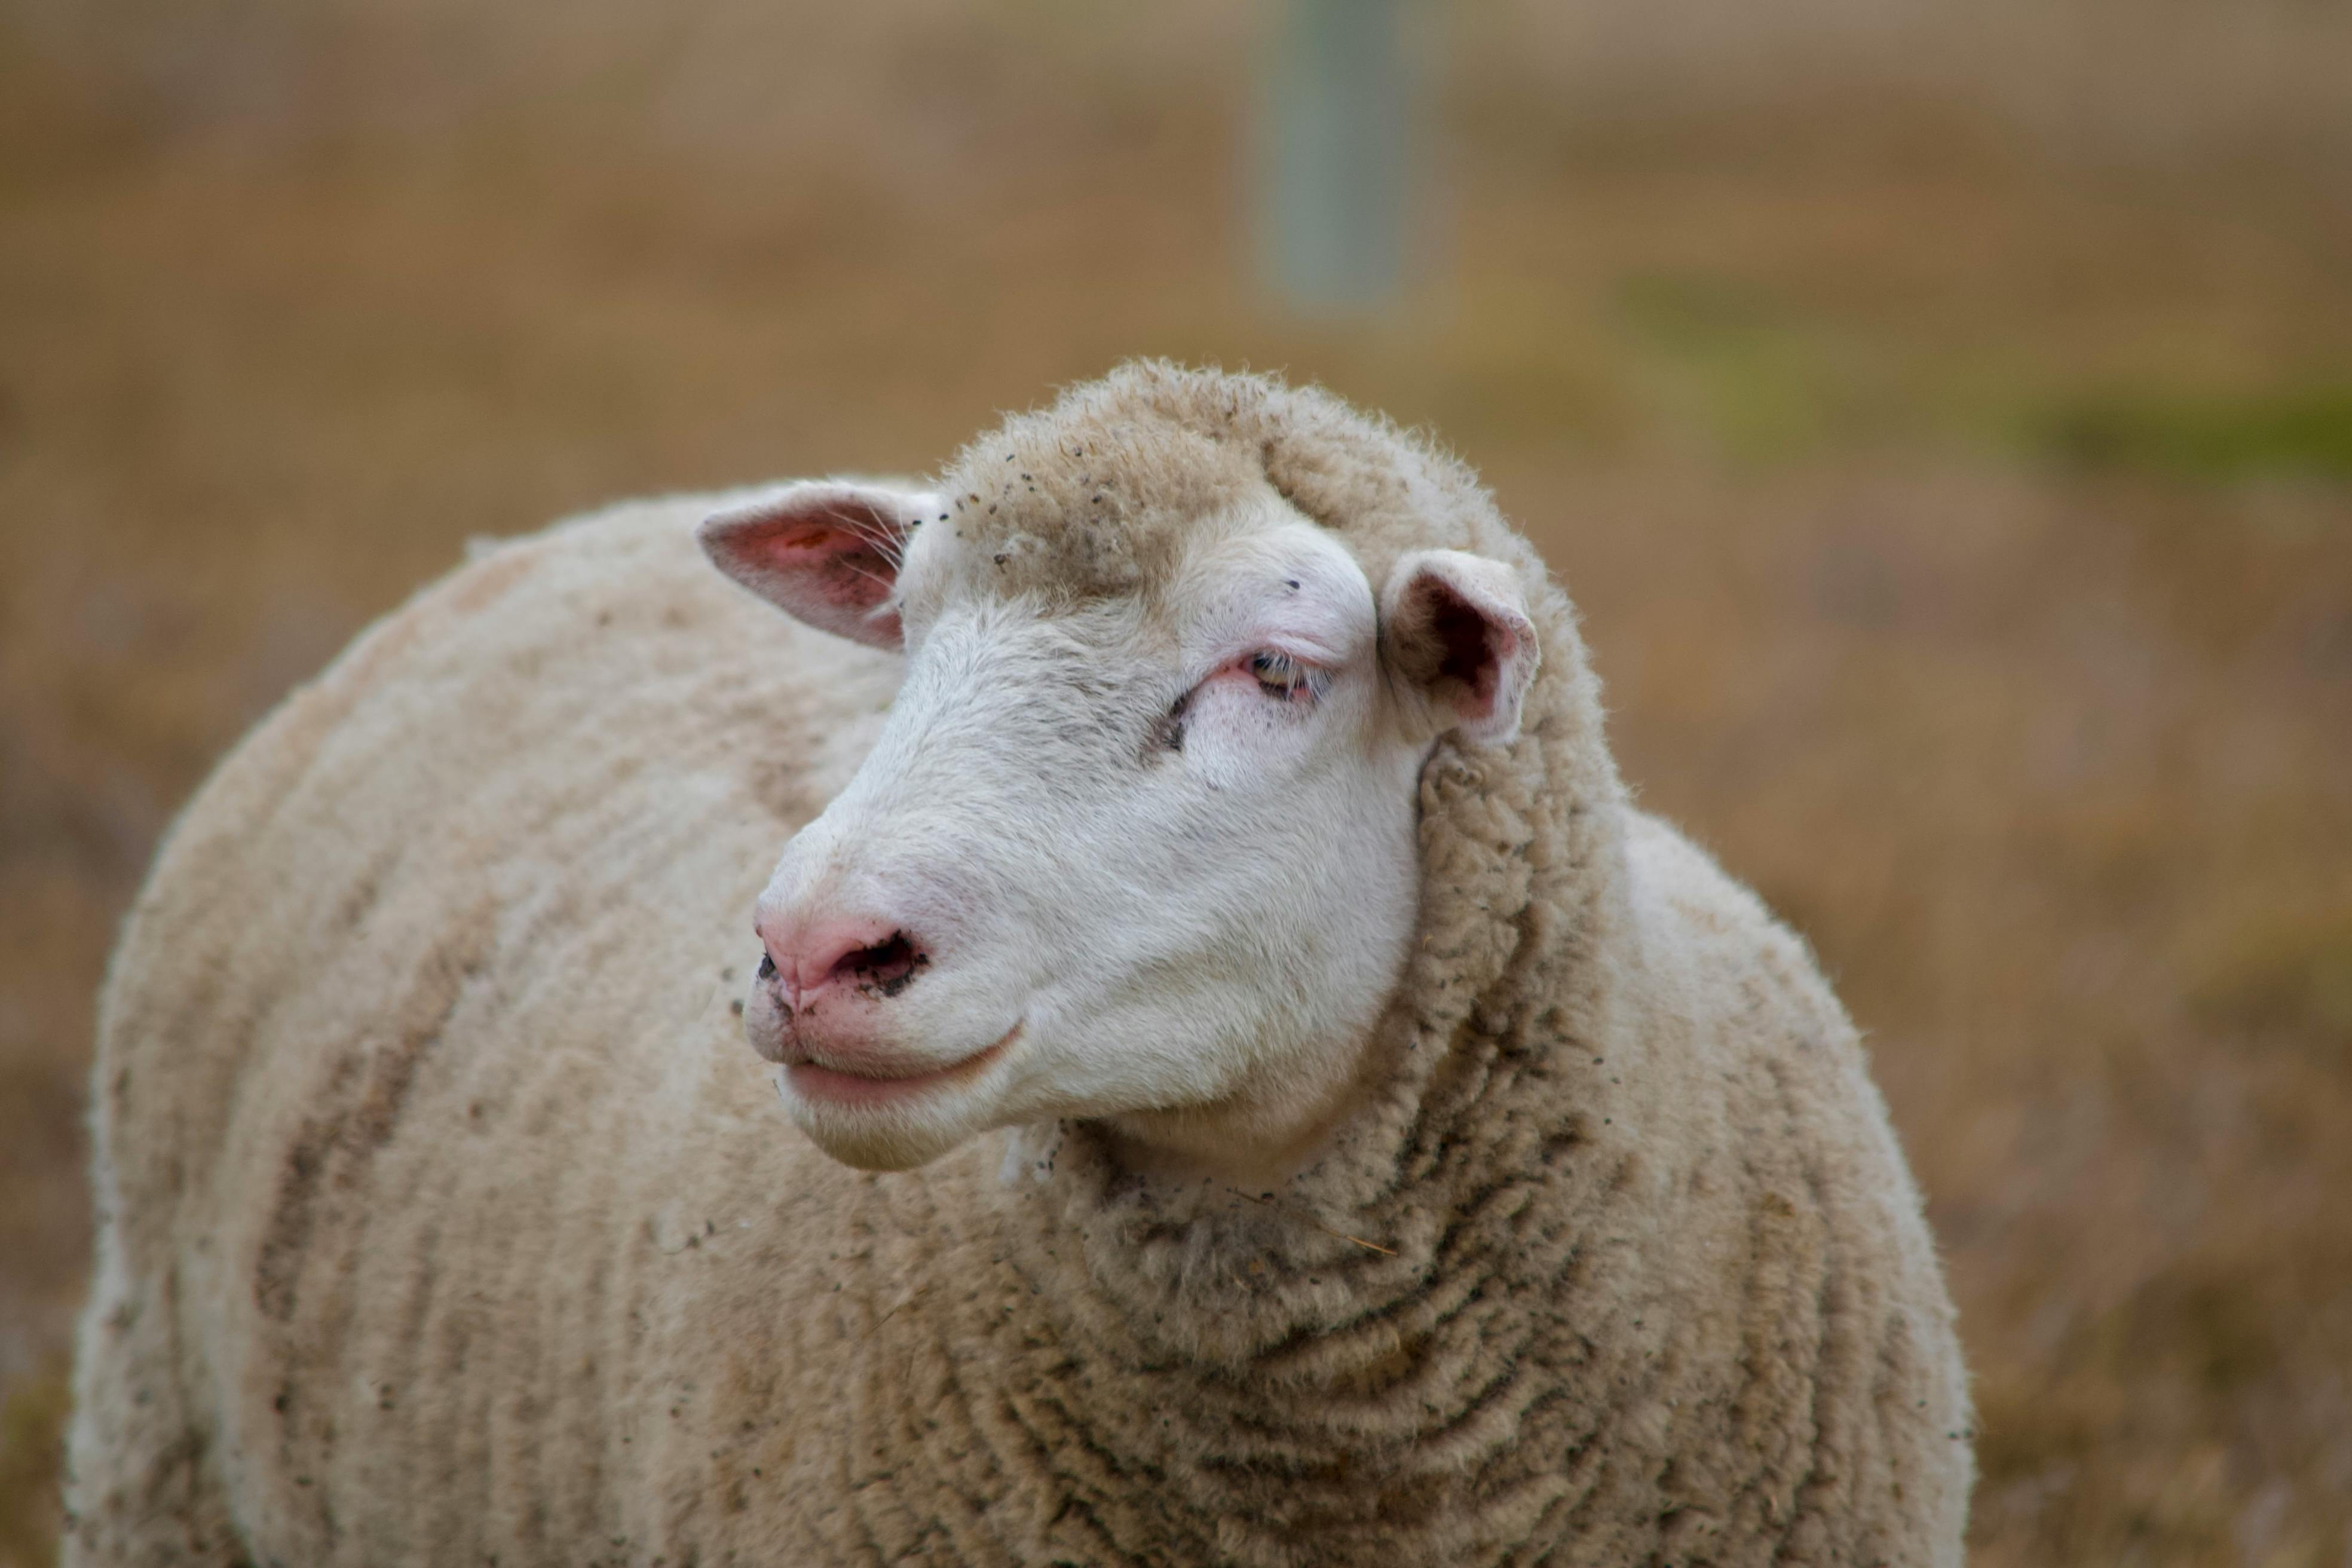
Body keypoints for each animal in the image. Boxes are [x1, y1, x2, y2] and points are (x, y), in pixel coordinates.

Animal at [64, 361, 1972, 1566]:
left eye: (1279, 671)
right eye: (902, 631)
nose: (815, 948)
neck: (1362, 1468)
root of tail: (567, 529)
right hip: (158, 1455)